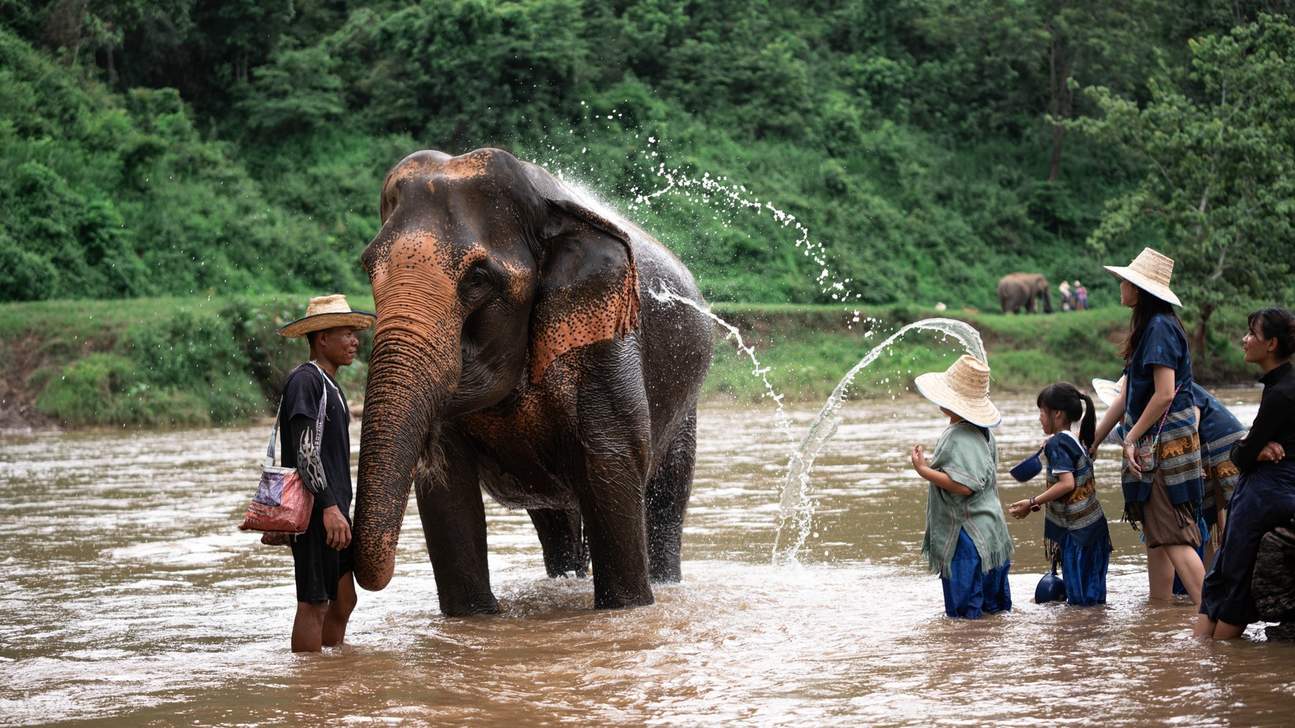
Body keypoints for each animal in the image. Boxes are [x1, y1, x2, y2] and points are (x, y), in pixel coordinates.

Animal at [353, 147, 713, 615]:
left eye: (478, 279)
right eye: (367, 267)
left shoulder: (607, 341)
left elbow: (611, 467)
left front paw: (629, 609)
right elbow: (447, 490)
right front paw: (475, 618)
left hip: (686, 409)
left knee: (667, 498)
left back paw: (665, 582)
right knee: (556, 521)